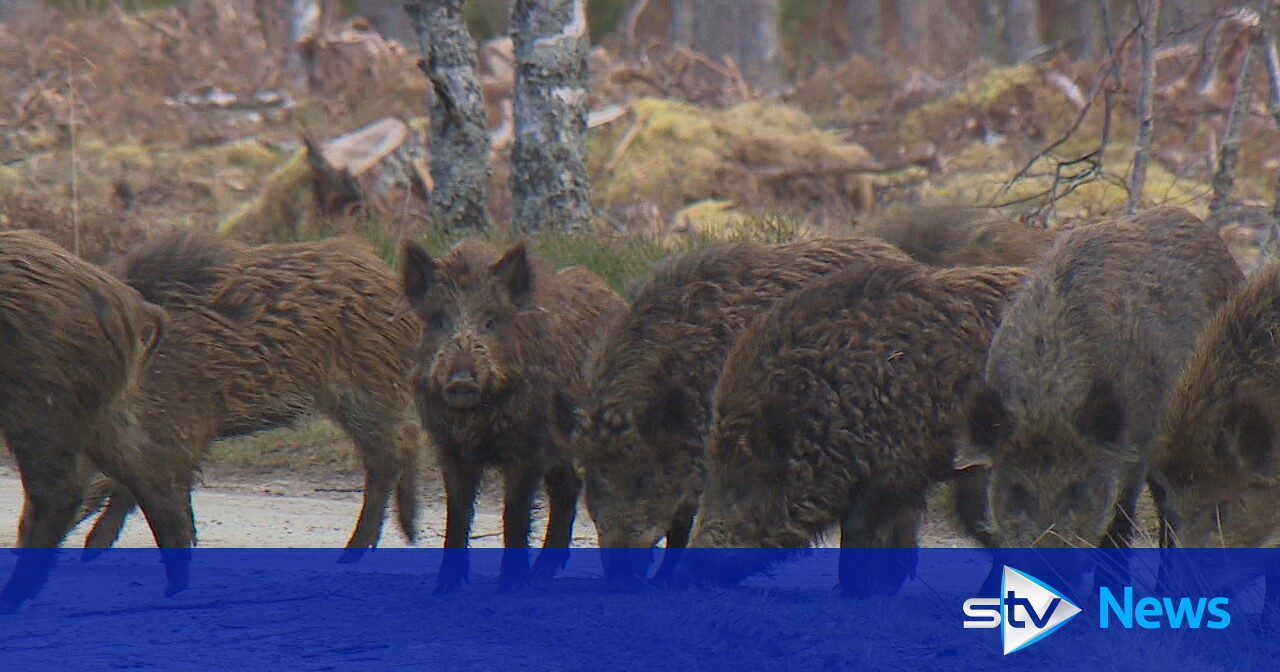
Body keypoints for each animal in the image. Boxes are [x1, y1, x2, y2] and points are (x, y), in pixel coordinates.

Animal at [0, 230, 190, 612]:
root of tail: (127, 302)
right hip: (100, 411)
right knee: (147, 470)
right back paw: (176, 585)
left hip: (41, 405)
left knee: (58, 493)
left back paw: (12, 598)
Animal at [79, 229, 424, 563]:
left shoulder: (180, 430)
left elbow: (141, 491)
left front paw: (93, 548)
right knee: (407, 438)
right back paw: (410, 533)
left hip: (366, 391)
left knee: (386, 461)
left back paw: (353, 553)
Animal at [401, 238, 625, 593]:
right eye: (439, 320)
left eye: (491, 320)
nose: (462, 381)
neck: (476, 421)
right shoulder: (449, 447)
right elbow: (458, 512)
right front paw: (444, 587)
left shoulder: (528, 446)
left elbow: (515, 512)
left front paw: (511, 586)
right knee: (567, 489)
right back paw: (542, 572)